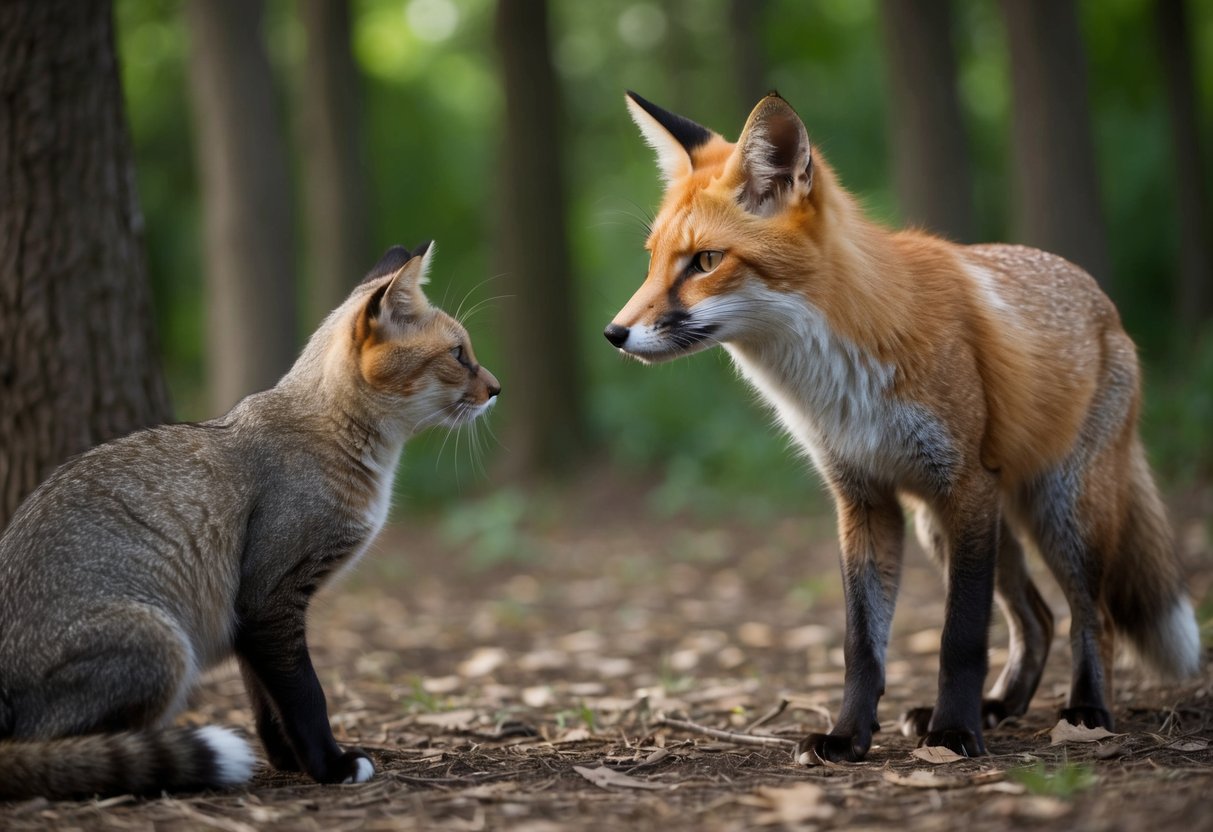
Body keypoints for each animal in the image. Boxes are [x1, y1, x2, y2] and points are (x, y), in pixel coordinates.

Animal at [0, 243, 500, 798]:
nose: (497, 388)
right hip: (163, 645)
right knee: (58, 745)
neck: (332, 434)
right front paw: (331, 765)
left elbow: (266, 701)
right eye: (458, 355)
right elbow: (306, 696)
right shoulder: (269, 598)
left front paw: (287, 760)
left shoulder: (249, 617)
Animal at [605, 91, 1201, 760]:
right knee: (1038, 620)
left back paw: (1086, 712)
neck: (839, 375)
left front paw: (954, 733)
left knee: (1090, 617)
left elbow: (959, 636)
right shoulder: (865, 498)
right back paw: (1002, 707)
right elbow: (862, 645)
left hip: (1058, 510)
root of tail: (1107, 307)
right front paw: (848, 737)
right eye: (653, 262)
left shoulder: (965, 485)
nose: (613, 332)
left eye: (705, 261)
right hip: (952, 525)